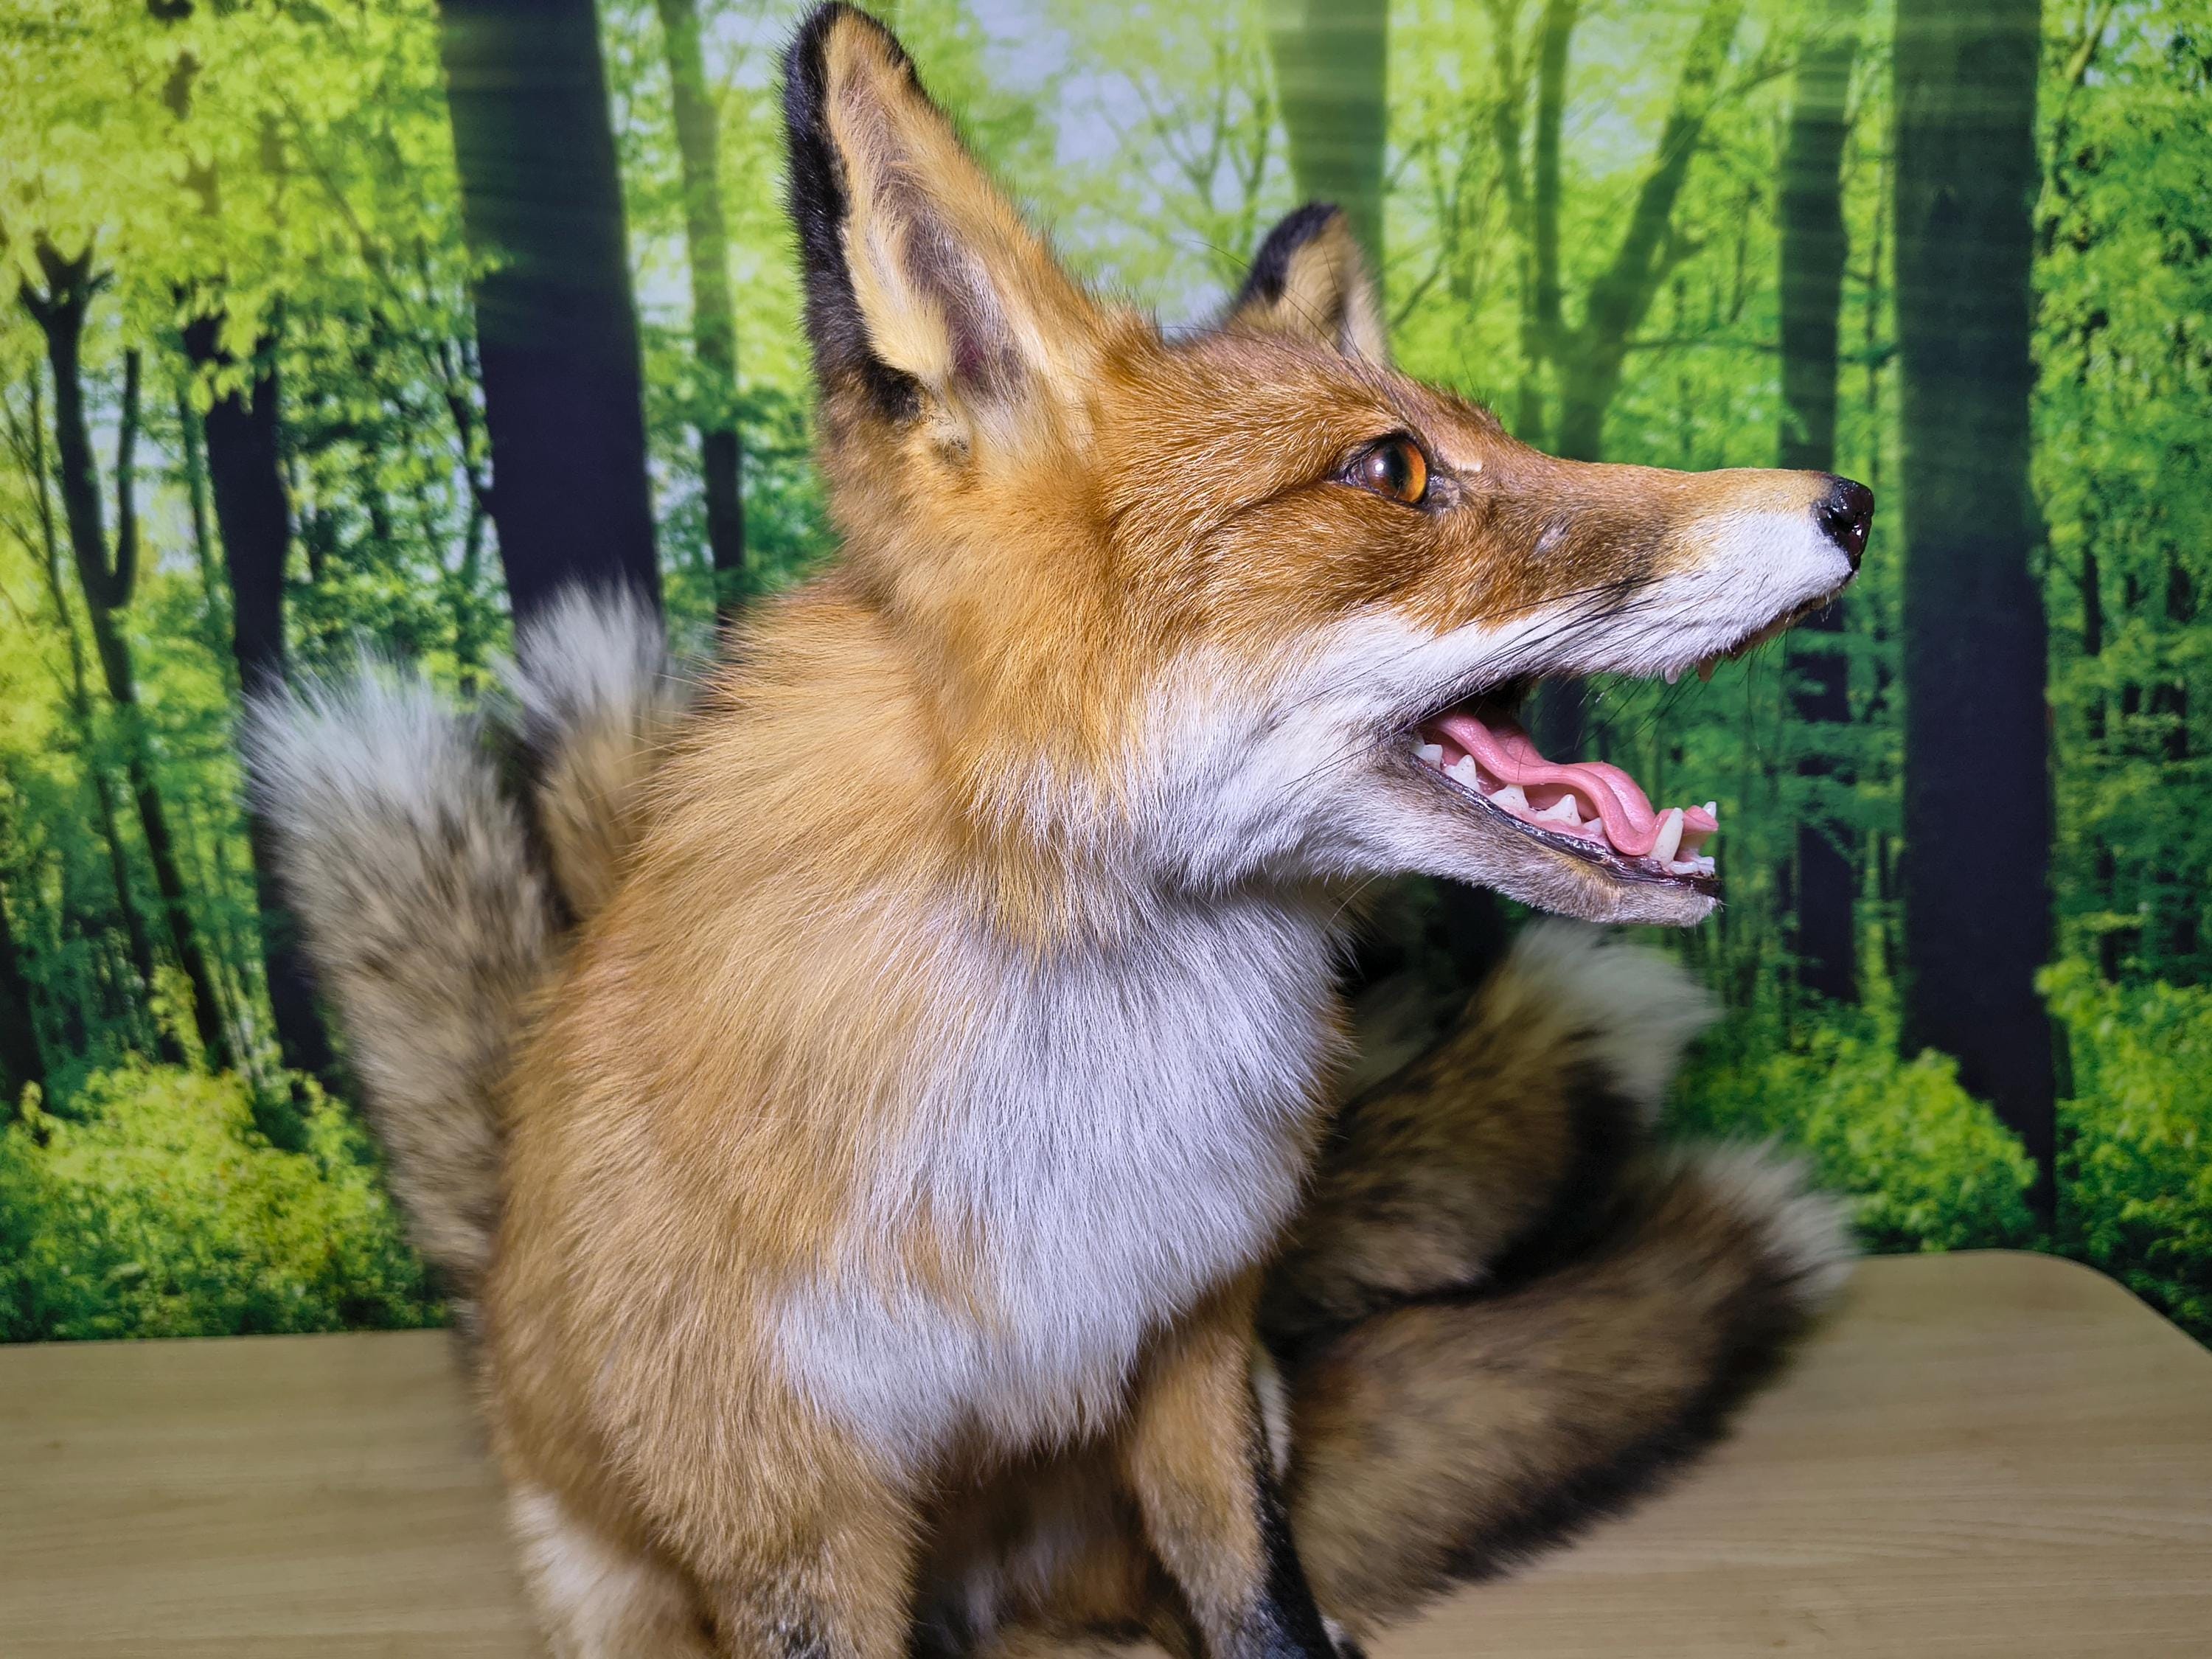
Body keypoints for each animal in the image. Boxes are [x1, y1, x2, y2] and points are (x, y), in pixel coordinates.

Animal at [248, 5, 1864, 1657]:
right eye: (1395, 468)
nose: (1853, 502)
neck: (1071, 1067)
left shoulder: (1196, 1351)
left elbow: (1263, 1598)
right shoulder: (790, 1506)